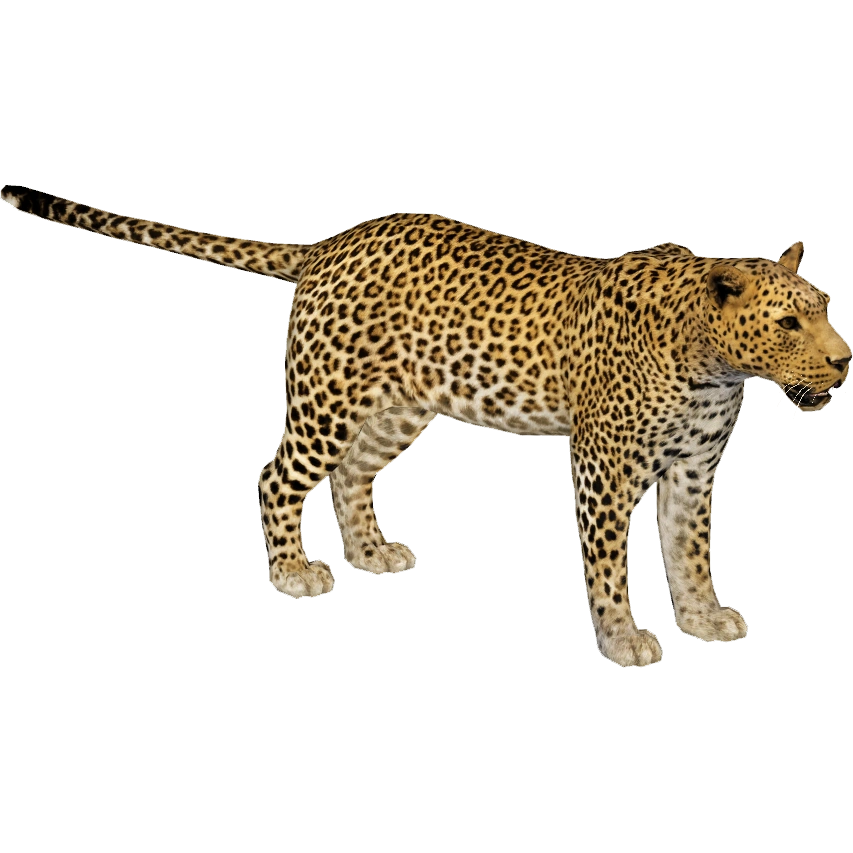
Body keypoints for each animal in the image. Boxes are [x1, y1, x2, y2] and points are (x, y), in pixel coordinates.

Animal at [2, 184, 849, 667]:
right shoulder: (603, 468)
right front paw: (623, 638)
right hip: (326, 398)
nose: (844, 361)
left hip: (396, 408)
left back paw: (371, 553)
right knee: (276, 473)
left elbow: (690, 551)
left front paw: (704, 618)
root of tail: (330, 242)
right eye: (786, 322)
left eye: (824, 307)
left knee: (350, 475)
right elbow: (611, 565)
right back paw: (291, 572)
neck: (714, 366)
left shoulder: (692, 468)